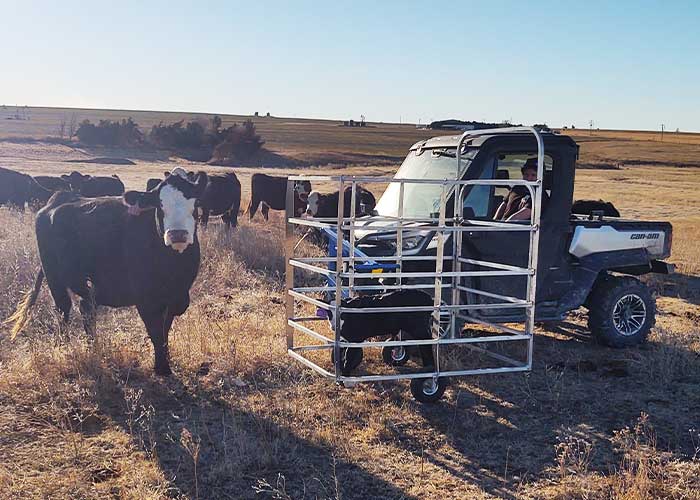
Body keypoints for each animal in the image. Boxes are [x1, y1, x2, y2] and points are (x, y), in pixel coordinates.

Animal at [5, 168, 208, 376]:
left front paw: (165, 361)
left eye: (195, 203)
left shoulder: (177, 296)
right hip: (54, 276)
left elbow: (165, 328)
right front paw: (162, 368)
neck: (174, 268)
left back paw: (92, 348)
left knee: (86, 309)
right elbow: (155, 331)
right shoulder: (145, 298)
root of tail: (58, 199)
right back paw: (65, 348)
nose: (178, 234)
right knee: (64, 310)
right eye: (159, 206)